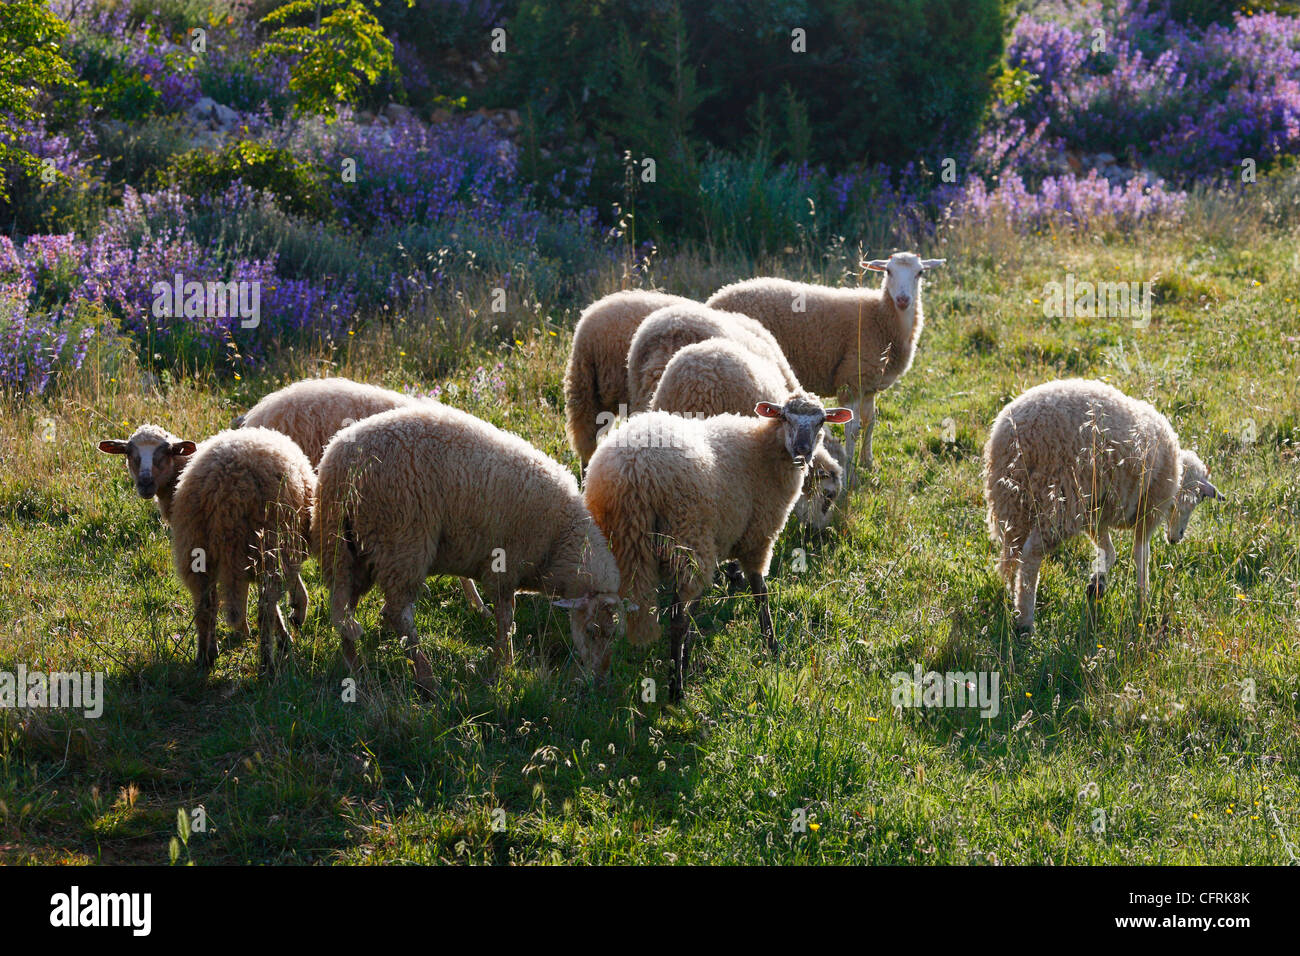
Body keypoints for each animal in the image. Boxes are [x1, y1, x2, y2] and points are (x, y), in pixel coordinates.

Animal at [312, 402, 623, 691]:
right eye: (592, 630)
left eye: (613, 634)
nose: (600, 680)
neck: (560, 539)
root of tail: (339, 467)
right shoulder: (505, 566)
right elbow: (506, 620)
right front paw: (503, 665)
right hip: (402, 541)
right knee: (397, 611)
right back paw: (426, 678)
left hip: (349, 549)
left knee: (345, 610)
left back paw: (356, 666)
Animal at [584, 397, 853, 698]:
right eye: (785, 417)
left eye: (821, 421)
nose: (803, 451)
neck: (766, 451)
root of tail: (633, 470)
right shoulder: (757, 537)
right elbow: (761, 593)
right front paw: (772, 647)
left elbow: (701, 603)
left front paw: (688, 654)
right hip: (688, 536)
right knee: (677, 621)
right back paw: (675, 690)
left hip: (623, 544)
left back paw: (603, 679)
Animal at [706, 252, 945, 476]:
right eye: (888, 271)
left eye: (920, 273)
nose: (903, 299)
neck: (882, 317)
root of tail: (717, 296)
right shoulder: (850, 381)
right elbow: (852, 428)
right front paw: (849, 467)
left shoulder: (869, 385)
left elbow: (870, 423)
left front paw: (868, 463)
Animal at [982, 378, 1223, 635]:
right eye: (1200, 498)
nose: (1177, 538)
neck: (1176, 475)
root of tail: (1014, 432)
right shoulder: (1148, 510)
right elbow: (1141, 555)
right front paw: (1143, 600)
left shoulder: (1094, 515)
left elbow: (1110, 551)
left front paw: (1097, 584)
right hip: (1061, 497)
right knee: (1030, 554)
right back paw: (1026, 620)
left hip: (1013, 500)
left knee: (1012, 555)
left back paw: (1014, 599)